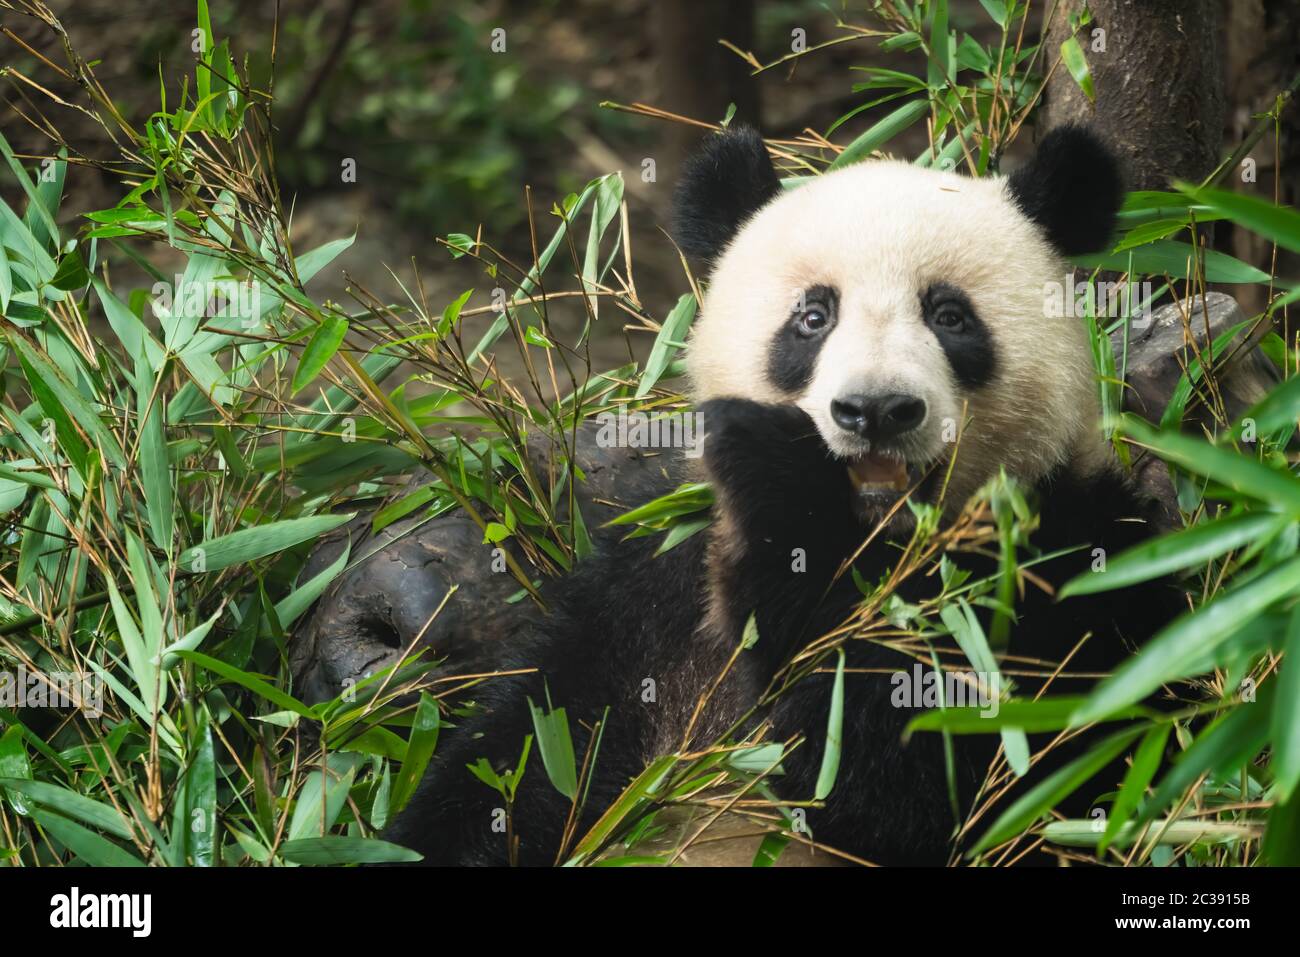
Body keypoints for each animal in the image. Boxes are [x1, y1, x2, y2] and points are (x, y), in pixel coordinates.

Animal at [385, 124, 1180, 866]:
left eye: (950, 316)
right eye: (813, 316)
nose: (875, 410)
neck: (878, 538)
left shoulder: (1072, 565)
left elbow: (961, 783)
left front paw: (783, 477)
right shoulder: (654, 587)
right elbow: (533, 755)